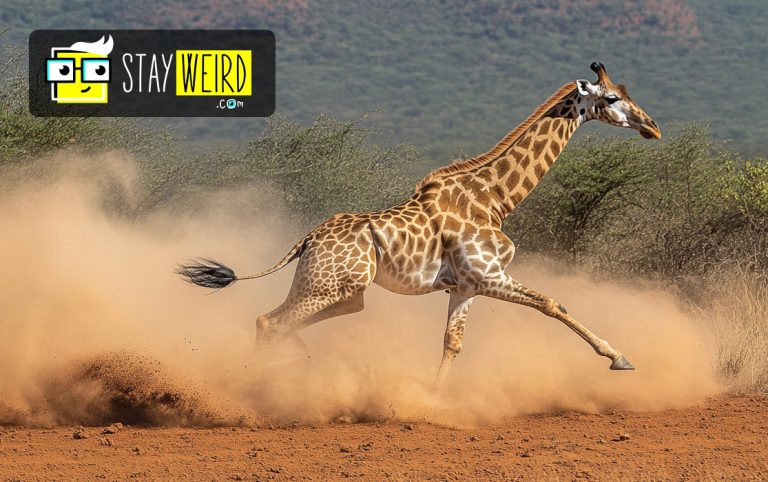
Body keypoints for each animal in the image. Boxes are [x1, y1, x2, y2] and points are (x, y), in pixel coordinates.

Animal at [178, 62, 661, 390]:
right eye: (612, 99)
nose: (653, 127)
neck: (495, 199)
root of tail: (307, 239)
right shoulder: (490, 275)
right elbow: (551, 302)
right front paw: (619, 358)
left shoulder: (466, 287)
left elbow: (453, 343)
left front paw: (433, 399)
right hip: (326, 287)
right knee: (270, 323)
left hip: (343, 294)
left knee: (275, 323)